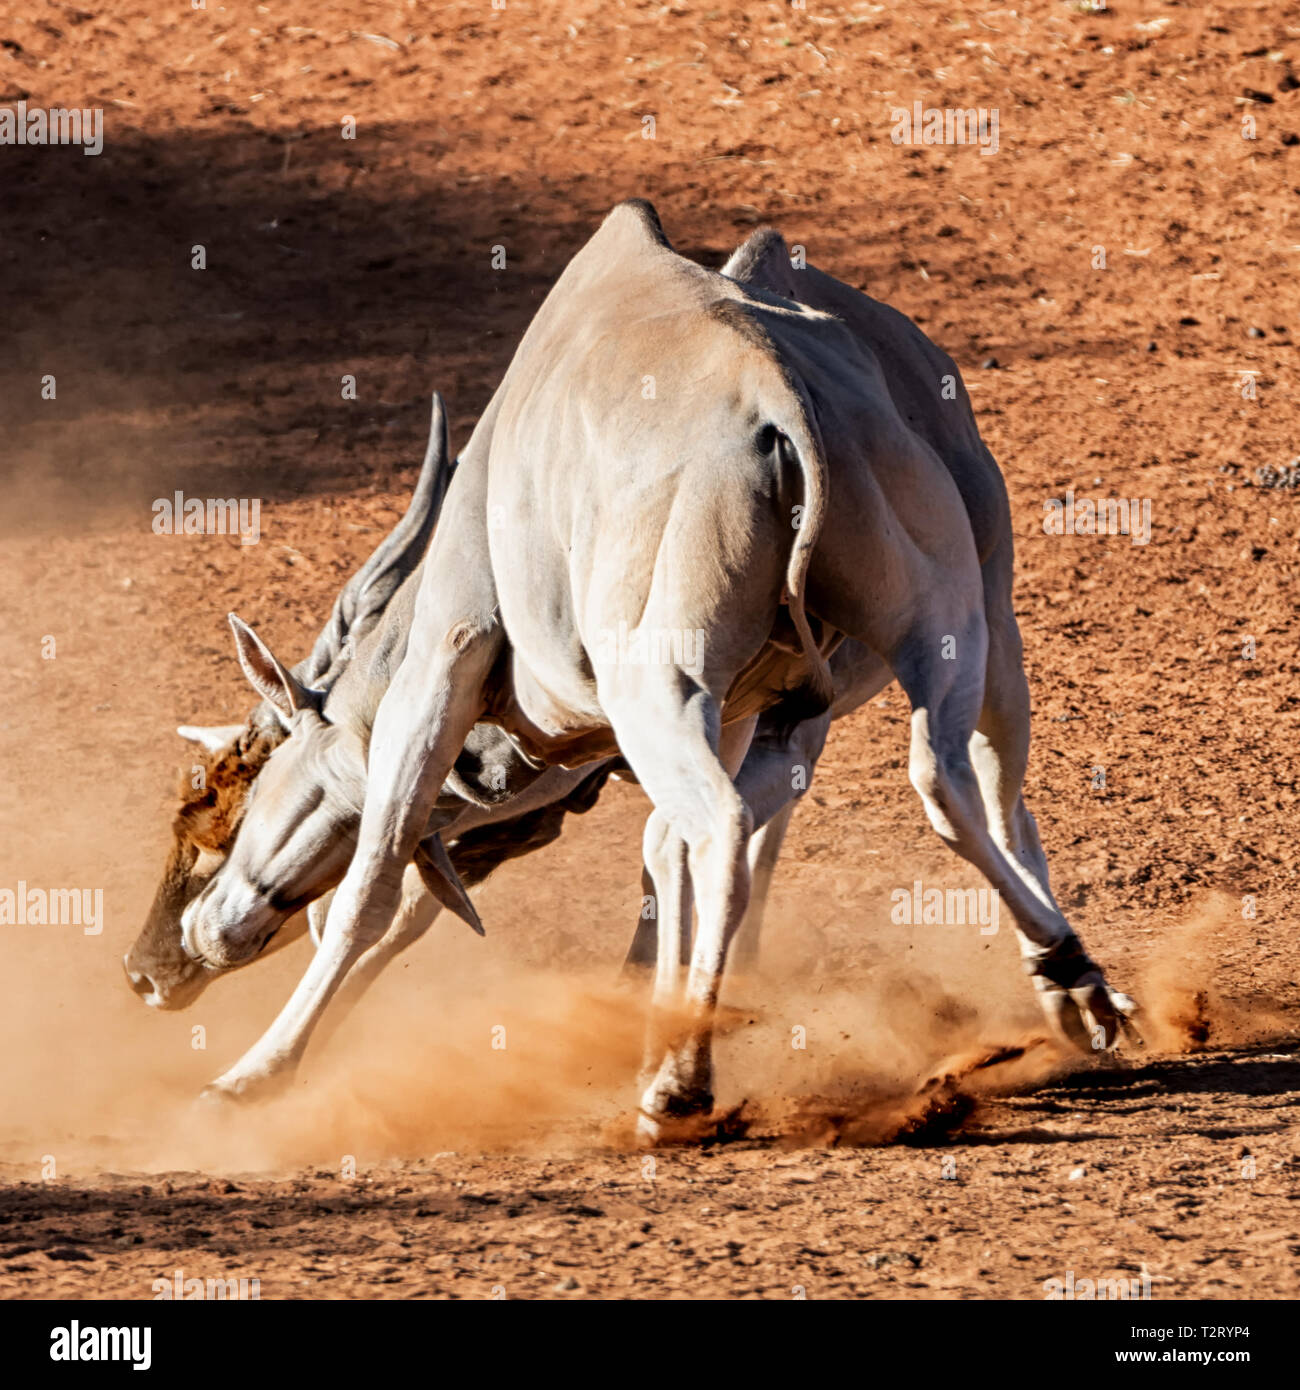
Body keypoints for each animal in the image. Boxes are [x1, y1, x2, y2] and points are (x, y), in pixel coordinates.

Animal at [180, 201, 1136, 1140]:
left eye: (235, 787)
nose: (195, 937)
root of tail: (781, 398)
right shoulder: (750, 708)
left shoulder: (442, 667)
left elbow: (371, 892)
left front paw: (249, 1079)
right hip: (958, 629)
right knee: (959, 784)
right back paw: (1073, 983)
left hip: (661, 691)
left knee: (724, 828)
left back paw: (680, 1085)